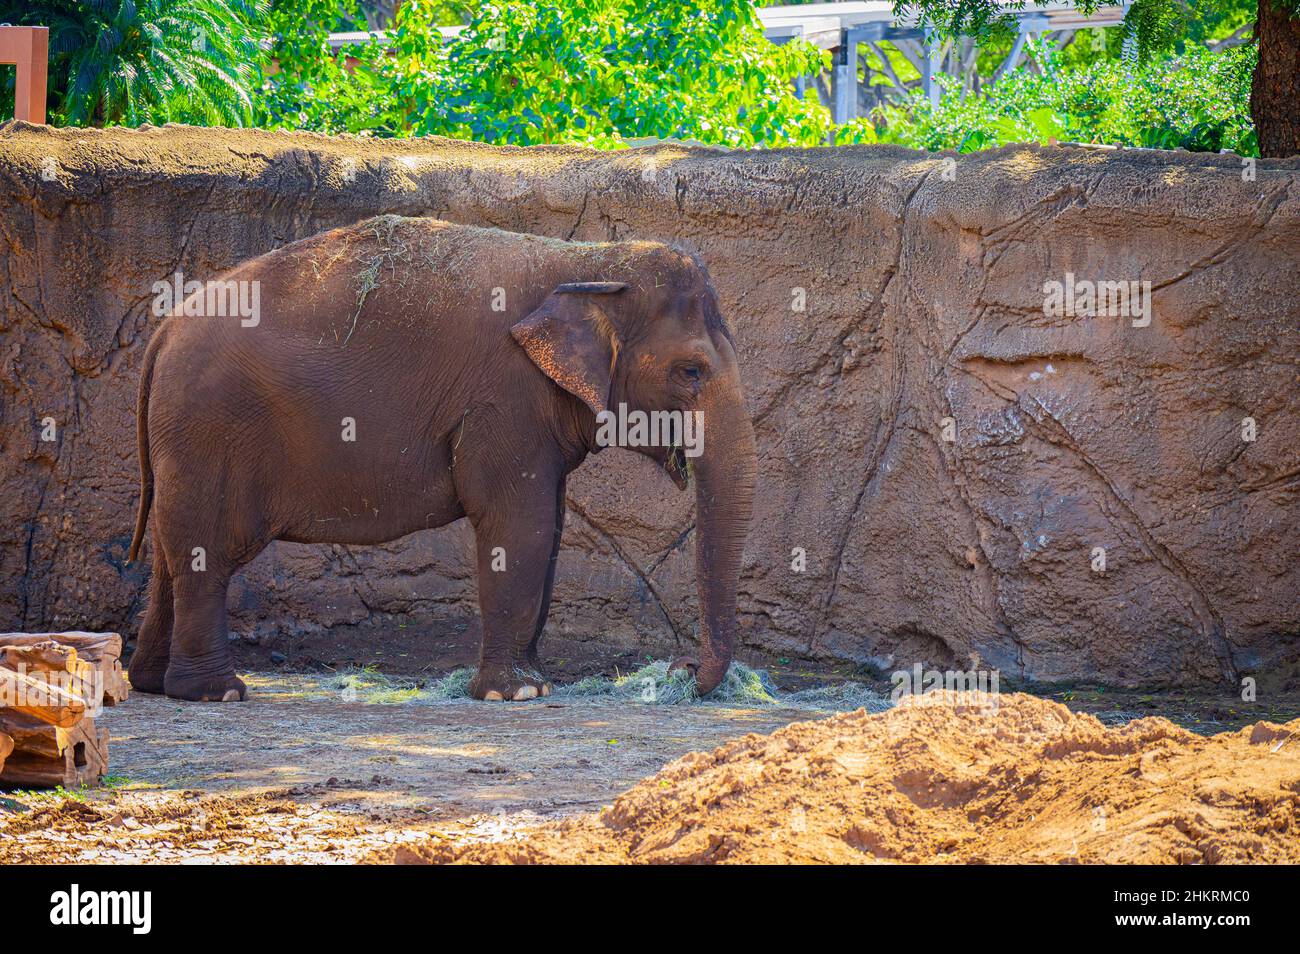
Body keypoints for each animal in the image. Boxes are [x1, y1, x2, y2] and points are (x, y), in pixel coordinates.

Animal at [127, 214, 757, 703]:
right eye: (691, 371)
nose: (679, 668)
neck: (591, 262)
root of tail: (162, 335)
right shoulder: (504, 399)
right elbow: (519, 526)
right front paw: (516, 694)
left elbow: (550, 529)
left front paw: (534, 682)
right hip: (208, 430)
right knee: (206, 551)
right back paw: (218, 692)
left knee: (168, 553)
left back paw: (153, 684)